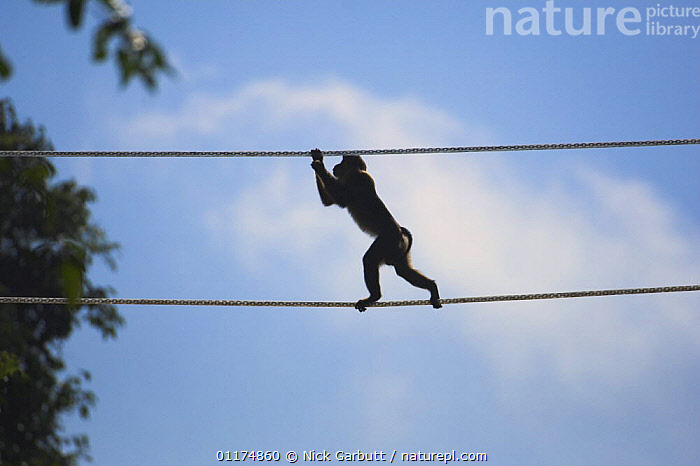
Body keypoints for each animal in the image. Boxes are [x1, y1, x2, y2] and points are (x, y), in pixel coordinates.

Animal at [310, 148, 441, 312]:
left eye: (342, 162)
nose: (335, 166)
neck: (354, 173)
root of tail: (400, 232)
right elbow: (329, 202)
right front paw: (317, 158)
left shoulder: (359, 179)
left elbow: (342, 200)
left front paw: (319, 165)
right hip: (398, 249)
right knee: (403, 270)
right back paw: (432, 287)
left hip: (387, 240)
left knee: (370, 260)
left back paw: (374, 296)